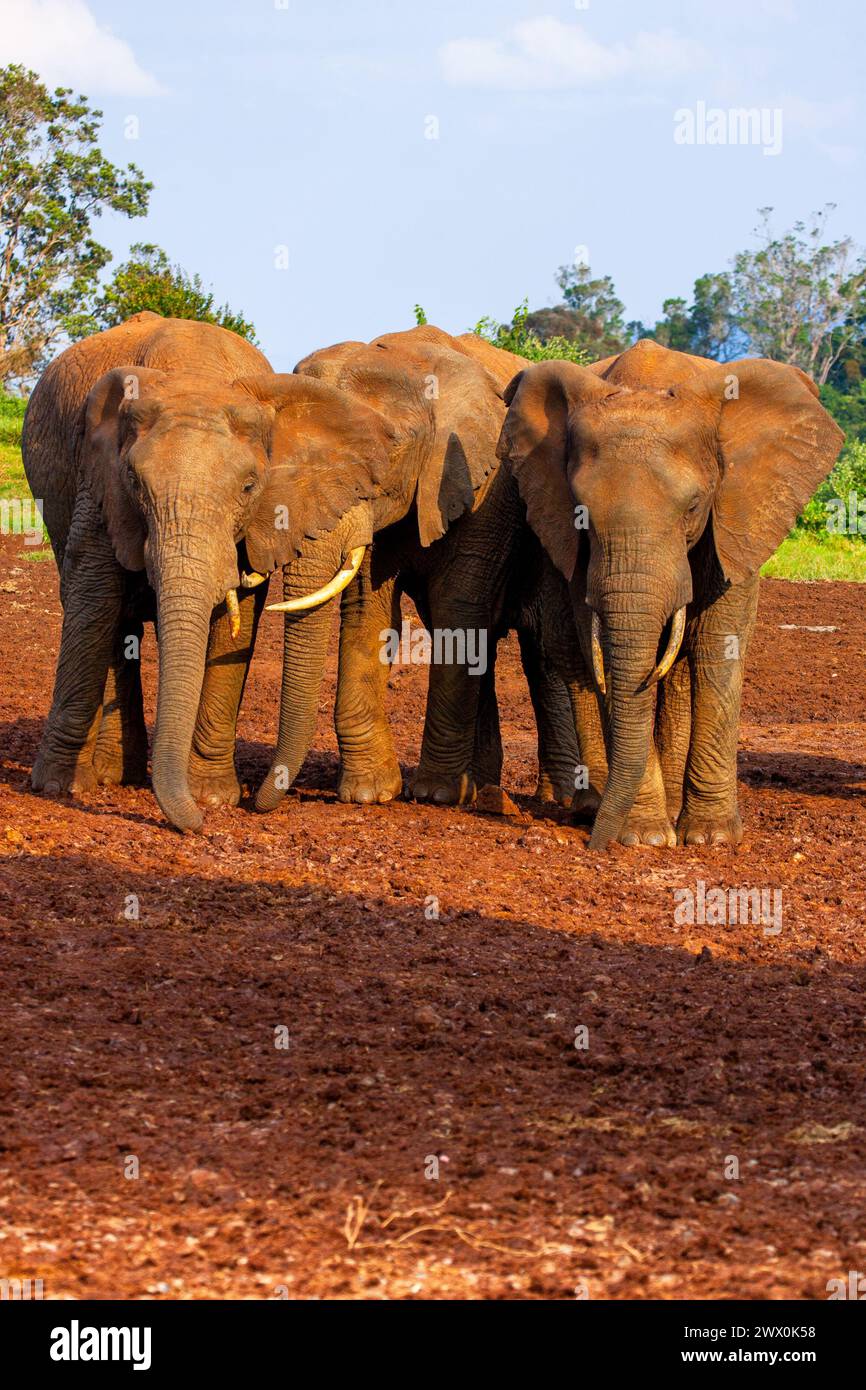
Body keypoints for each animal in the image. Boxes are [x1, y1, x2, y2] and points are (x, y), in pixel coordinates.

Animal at [495, 338, 844, 850]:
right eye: (581, 512)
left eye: (694, 506)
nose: (593, 847)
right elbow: (601, 651)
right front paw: (645, 838)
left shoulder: (735, 515)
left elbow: (718, 643)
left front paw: (711, 838)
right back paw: (593, 808)